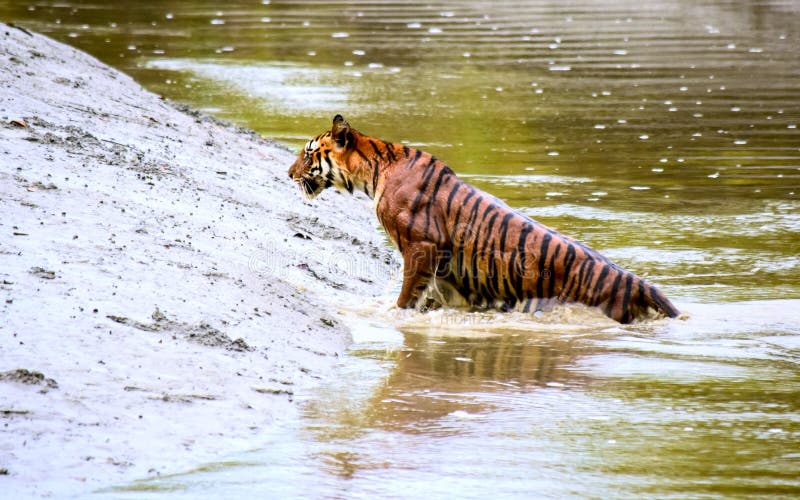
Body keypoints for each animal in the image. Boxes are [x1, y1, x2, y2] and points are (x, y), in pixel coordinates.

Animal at [288, 115, 680, 324]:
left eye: (308, 154)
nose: (288, 173)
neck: (375, 171)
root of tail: (637, 282)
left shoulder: (422, 246)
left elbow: (407, 294)